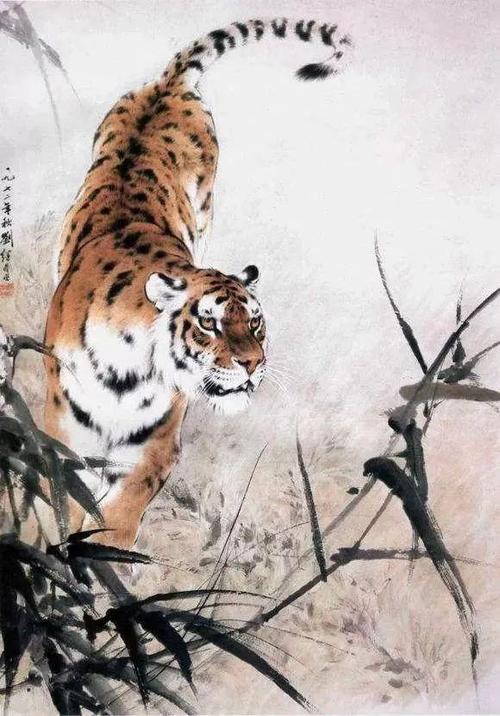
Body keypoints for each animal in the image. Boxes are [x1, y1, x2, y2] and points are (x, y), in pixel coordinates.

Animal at [44, 18, 351, 548]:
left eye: (257, 324)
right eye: (209, 324)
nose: (254, 365)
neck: (128, 373)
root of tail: (169, 84)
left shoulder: (150, 452)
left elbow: (113, 525)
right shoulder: (63, 435)